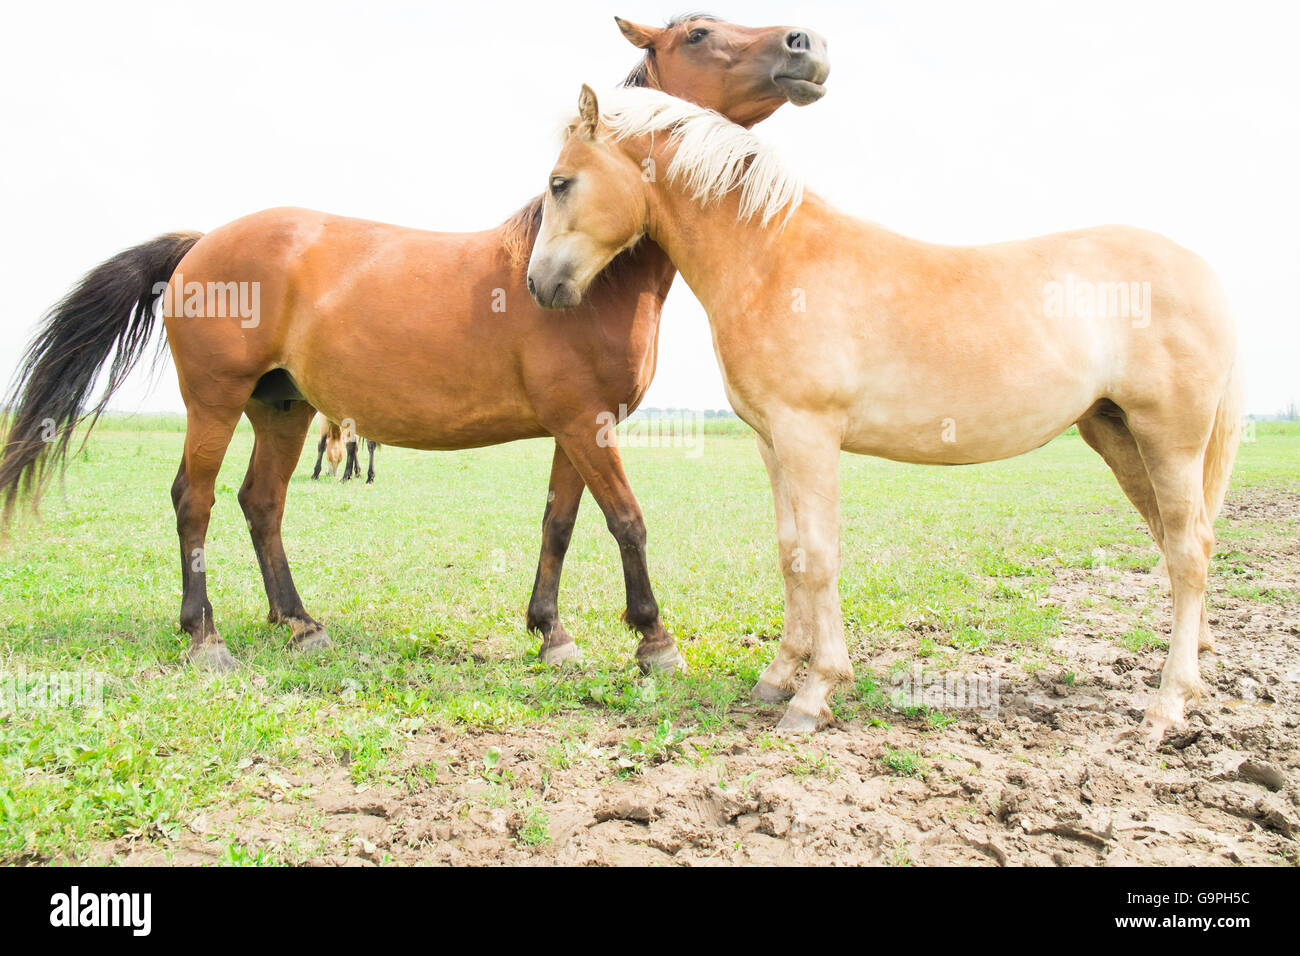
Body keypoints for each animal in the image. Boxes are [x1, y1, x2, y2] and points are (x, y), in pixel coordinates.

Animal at [0, 16, 830, 673]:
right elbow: (626, 518)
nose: (808, 45)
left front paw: (552, 633)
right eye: (698, 32)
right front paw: (654, 641)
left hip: (282, 409)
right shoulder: (585, 422)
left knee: (261, 502)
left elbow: (561, 522)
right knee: (193, 500)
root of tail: (201, 244)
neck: (588, 272)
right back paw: (206, 639)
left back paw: (299, 623)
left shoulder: (579, 425)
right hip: (214, 400)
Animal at [525, 86, 1242, 746]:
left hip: (1168, 439)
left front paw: (815, 692)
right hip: (1117, 436)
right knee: (1173, 540)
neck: (771, 259)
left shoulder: (809, 433)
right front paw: (778, 675)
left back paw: (1167, 705)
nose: (538, 285)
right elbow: (790, 554)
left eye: (561, 183)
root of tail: (1203, 271)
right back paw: (1195, 673)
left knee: (1189, 551)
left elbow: (820, 557)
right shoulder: (772, 442)